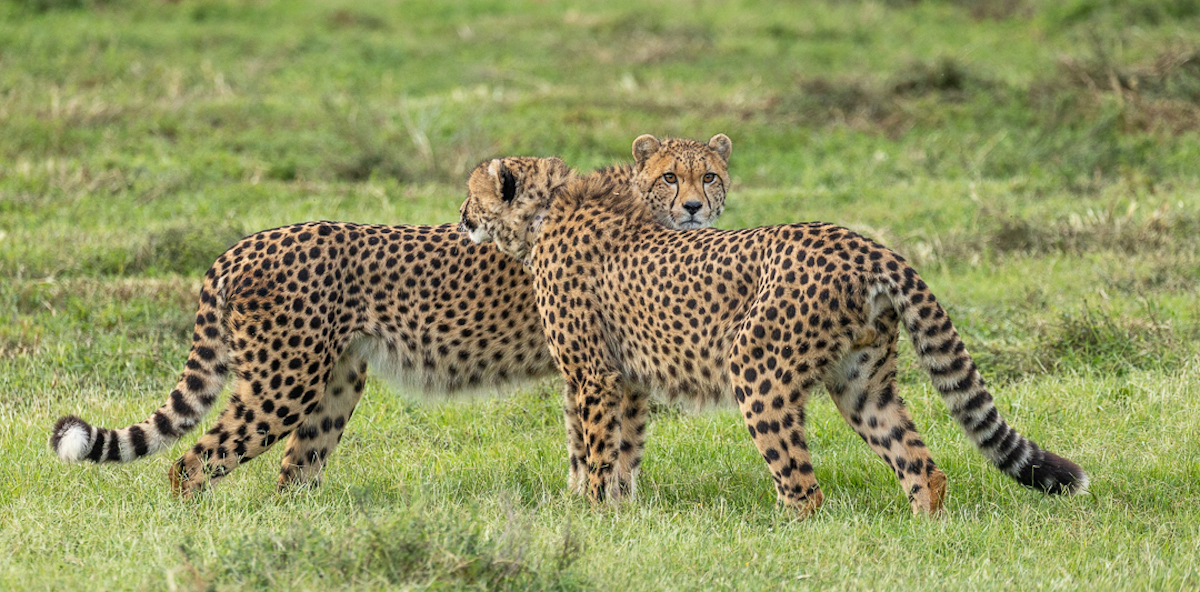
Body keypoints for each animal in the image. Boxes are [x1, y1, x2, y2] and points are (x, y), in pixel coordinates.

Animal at [49, 133, 734, 498]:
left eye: (710, 177)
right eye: (671, 177)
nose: (695, 208)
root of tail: (243, 243)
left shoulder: (596, 370)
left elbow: (594, 445)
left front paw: (594, 508)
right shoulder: (607, 369)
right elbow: (610, 447)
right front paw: (606, 513)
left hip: (335, 381)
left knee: (296, 468)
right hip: (282, 382)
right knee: (195, 460)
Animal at [458, 155, 1089, 517]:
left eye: (471, 192)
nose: (461, 216)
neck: (546, 212)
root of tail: (867, 244)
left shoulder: (595, 375)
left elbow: (594, 449)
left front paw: (590, 515)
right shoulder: (627, 377)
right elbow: (619, 450)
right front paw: (614, 508)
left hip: (757, 368)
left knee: (803, 487)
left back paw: (778, 539)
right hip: (862, 382)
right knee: (920, 464)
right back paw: (922, 535)